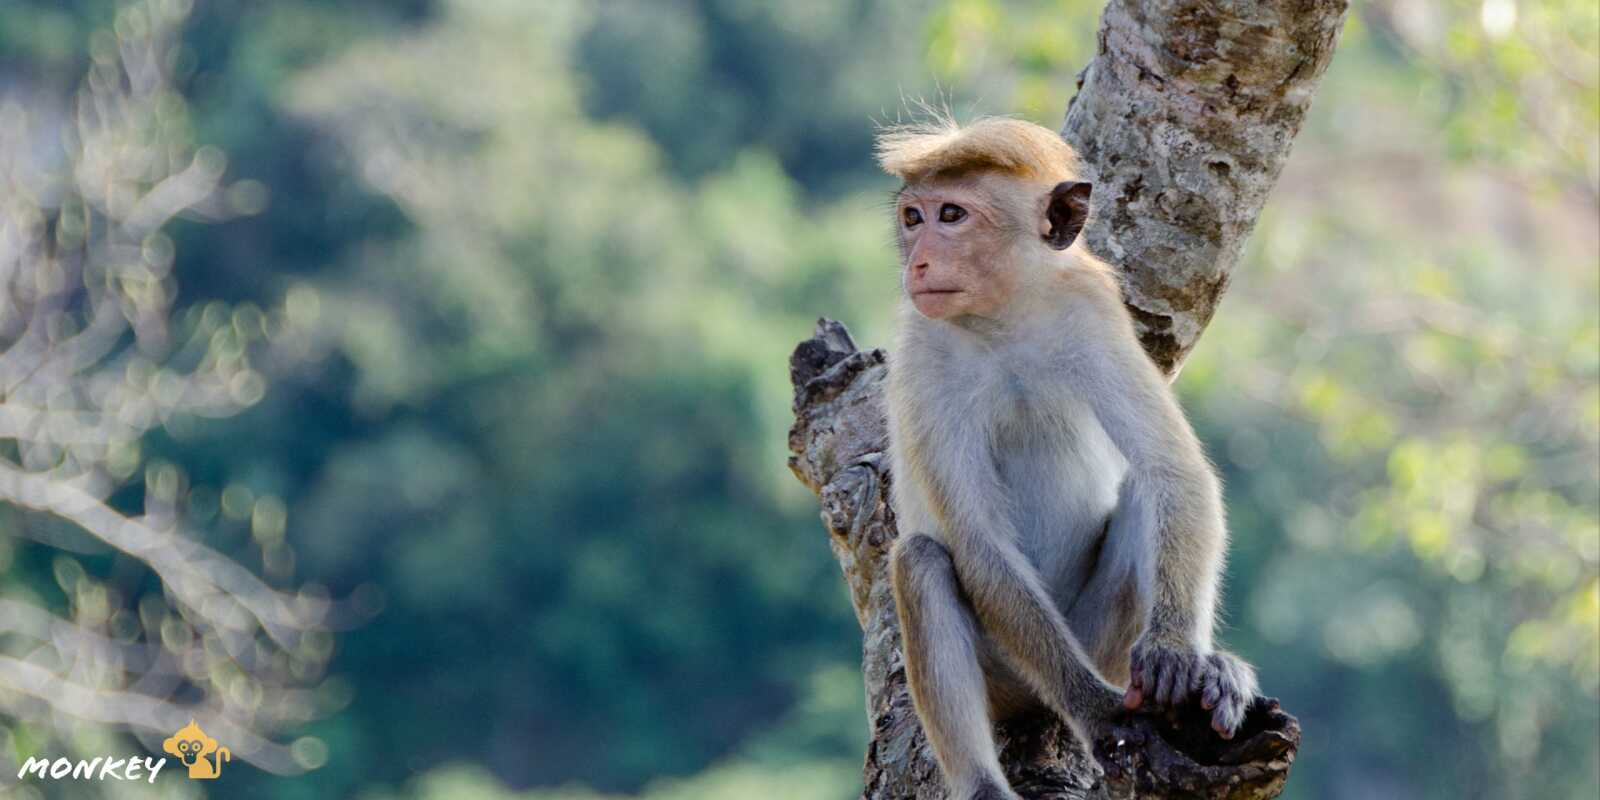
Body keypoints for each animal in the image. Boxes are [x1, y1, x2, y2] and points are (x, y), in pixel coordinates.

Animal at [878, 117, 1257, 800]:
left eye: (951, 215)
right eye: (912, 218)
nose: (918, 261)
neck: (1002, 320)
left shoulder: (1091, 311)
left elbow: (1172, 469)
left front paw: (1178, 654)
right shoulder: (924, 357)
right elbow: (978, 540)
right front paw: (1096, 710)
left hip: (1099, 638)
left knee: (1142, 493)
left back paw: (1211, 669)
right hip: (1009, 675)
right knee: (921, 561)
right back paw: (984, 782)